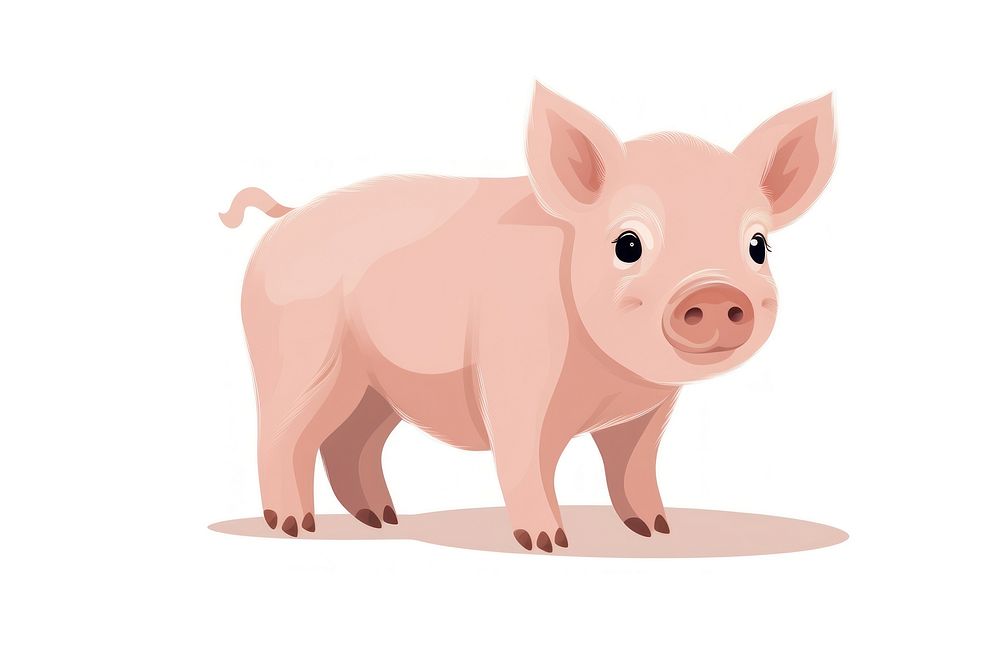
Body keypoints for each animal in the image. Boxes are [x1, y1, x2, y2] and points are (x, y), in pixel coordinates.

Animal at [219, 83, 836, 552]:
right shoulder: (513, 376)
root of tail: (287, 215)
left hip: (378, 388)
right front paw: (548, 543)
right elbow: (524, 458)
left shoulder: (649, 411)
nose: (710, 290)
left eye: (757, 245)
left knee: (348, 442)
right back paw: (295, 527)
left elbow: (634, 465)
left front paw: (658, 530)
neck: (611, 382)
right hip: (301, 360)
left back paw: (385, 519)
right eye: (628, 243)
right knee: (279, 436)